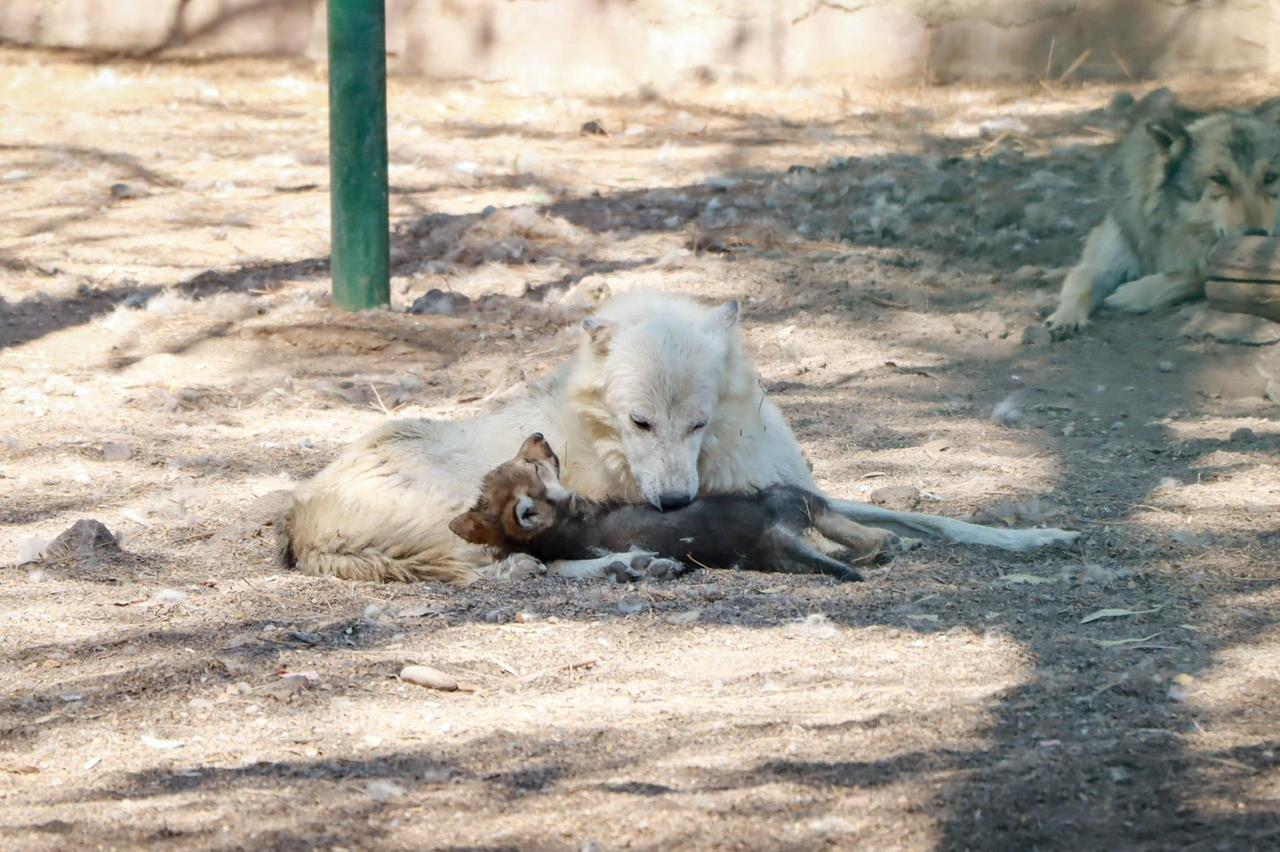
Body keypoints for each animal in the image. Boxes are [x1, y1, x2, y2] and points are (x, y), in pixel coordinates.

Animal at [449, 433, 910, 583]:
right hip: (785, 500)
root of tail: (767, 537)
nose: (538, 435)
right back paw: (888, 542)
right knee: (850, 530)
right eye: (532, 466)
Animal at [1046, 92, 1280, 337]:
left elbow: (1192, 276)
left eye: (1270, 177)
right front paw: (1065, 317)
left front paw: (1131, 294)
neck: (1173, 228)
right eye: (1219, 178)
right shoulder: (1101, 262)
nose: (1257, 234)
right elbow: (1079, 285)